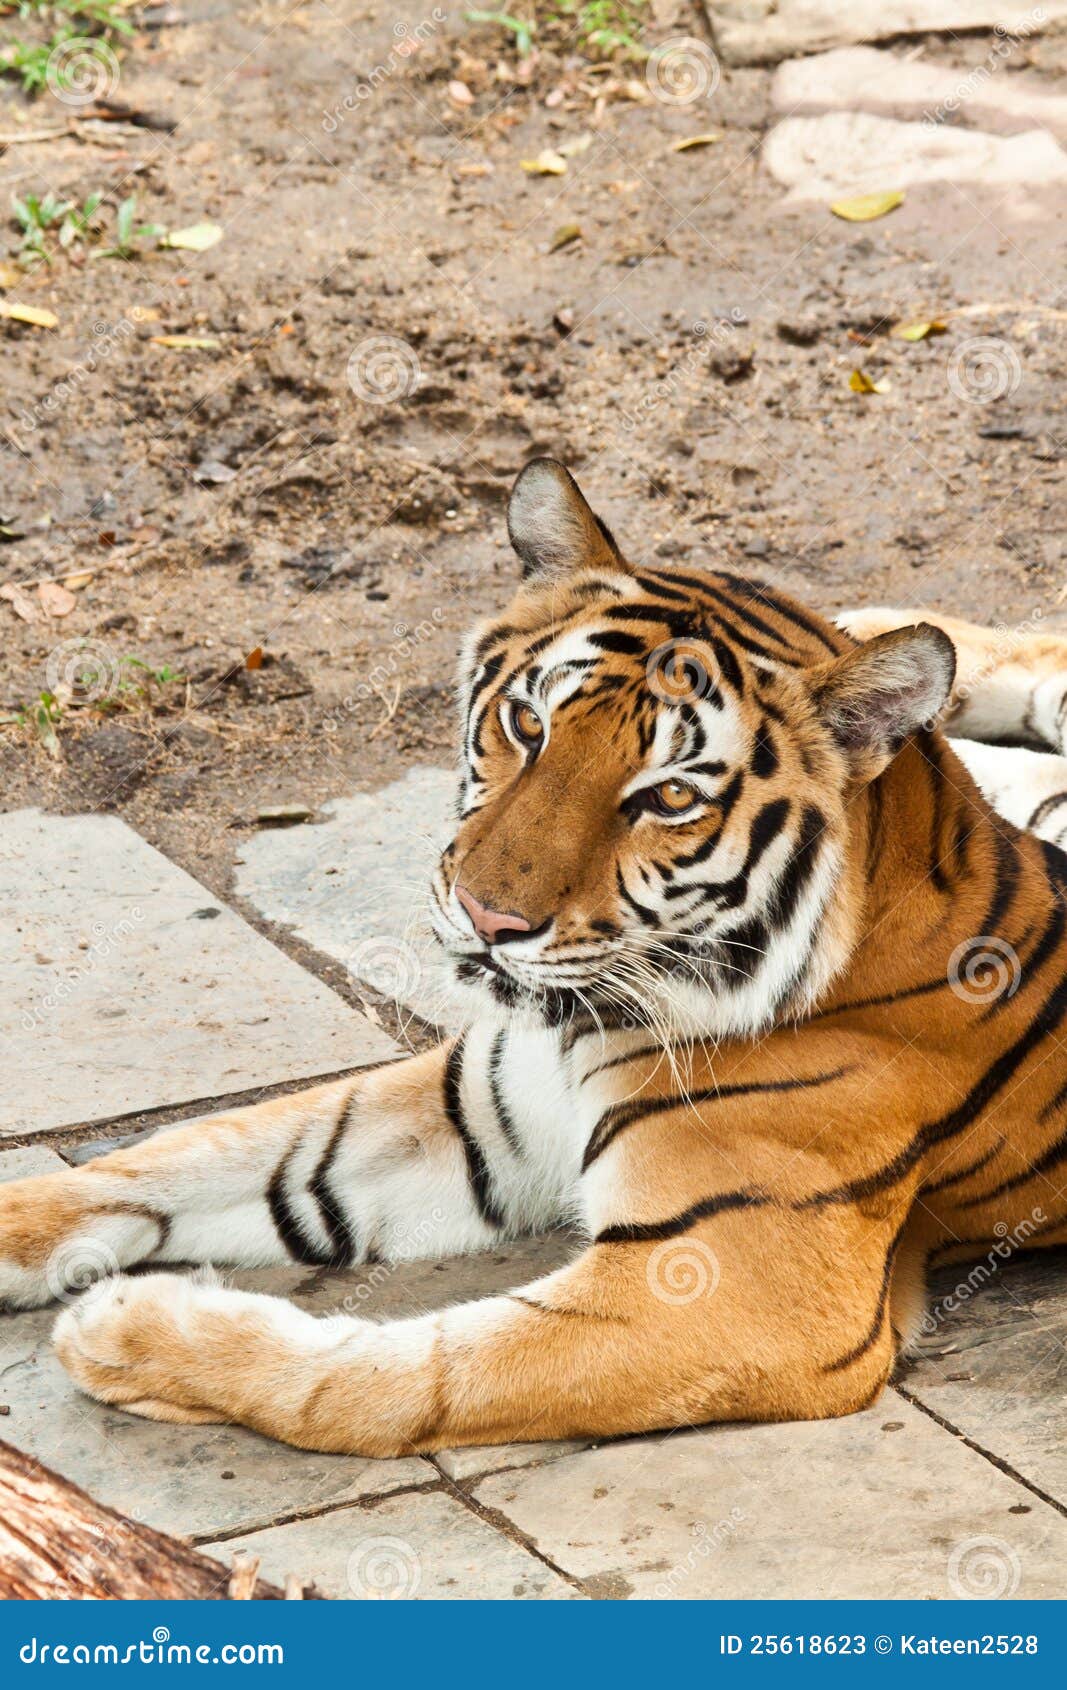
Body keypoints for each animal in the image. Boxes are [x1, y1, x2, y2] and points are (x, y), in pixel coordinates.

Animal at [2, 457, 1066, 1459]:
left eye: (670, 797)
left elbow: (396, 1375)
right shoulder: (473, 1116)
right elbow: (200, 1152)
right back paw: (879, 625)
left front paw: (129, 1331)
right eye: (526, 723)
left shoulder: (733, 1292)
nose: (486, 917)